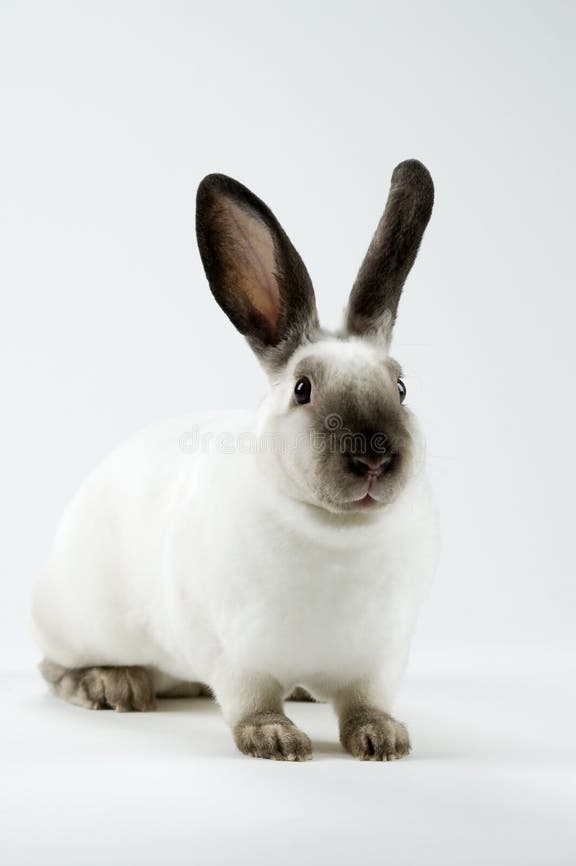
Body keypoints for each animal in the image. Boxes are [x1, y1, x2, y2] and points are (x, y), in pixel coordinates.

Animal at [32, 159, 439, 761]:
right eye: (302, 389)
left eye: (402, 388)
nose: (373, 458)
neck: (338, 536)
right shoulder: (237, 655)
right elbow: (252, 702)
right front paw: (275, 740)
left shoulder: (379, 658)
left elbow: (365, 703)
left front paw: (382, 739)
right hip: (80, 622)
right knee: (53, 667)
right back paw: (113, 685)